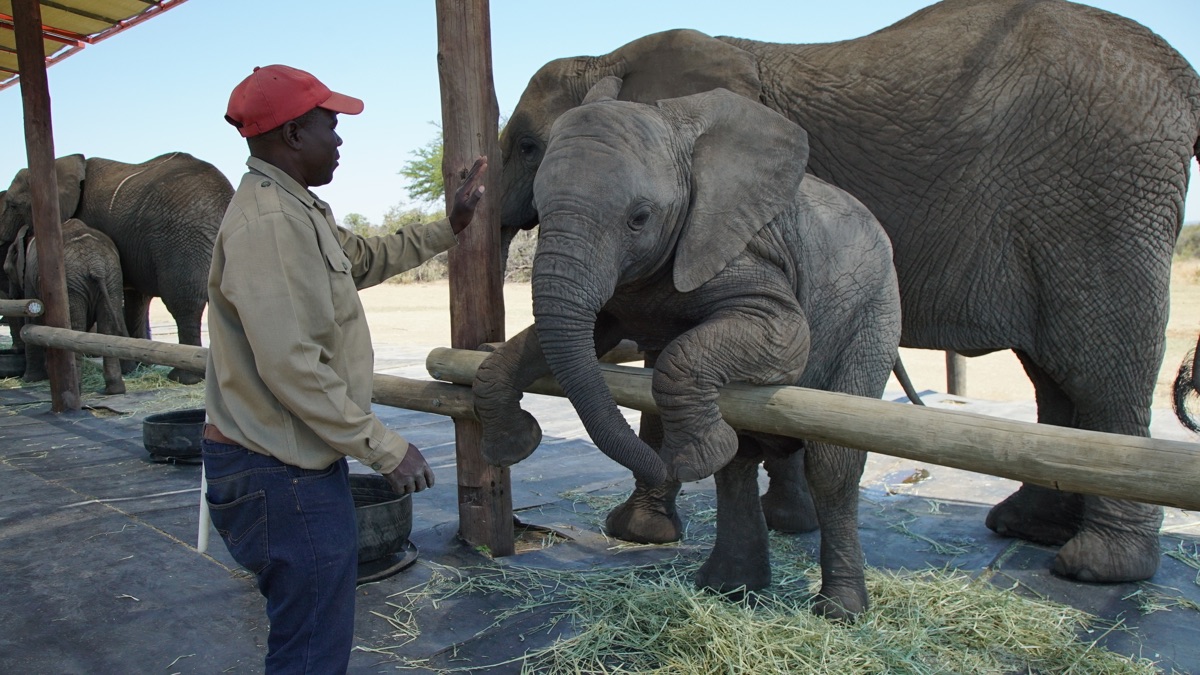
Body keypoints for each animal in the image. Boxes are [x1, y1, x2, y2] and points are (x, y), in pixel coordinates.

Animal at [3, 219, 128, 395]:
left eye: (6, 272)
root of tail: (96, 265)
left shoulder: (29, 278)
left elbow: (32, 322)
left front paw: (31, 379)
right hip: (113, 278)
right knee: (107, 327)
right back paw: (115, 391)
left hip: (73, 284)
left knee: (75, 328)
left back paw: (76, 389)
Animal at [474, 80, 902, 619]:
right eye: (540, 209)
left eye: (639, 219)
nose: (663, 464)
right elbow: (569, 338)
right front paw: (513, 443)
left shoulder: (742, 247)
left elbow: (786, 340)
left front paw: (689, 459)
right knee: (740, 460)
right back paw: (728, 587)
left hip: (874, 309)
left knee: (832, 461)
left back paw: (838, 609)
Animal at [493, 0, 1200, 584]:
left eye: (526, 145)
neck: (613, 56)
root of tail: (1181, 76)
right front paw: (775, 515)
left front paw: (644, 529)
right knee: (1054, 374)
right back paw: (1027, 528)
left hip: (1103, 195)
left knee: (1102, 366)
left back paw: (1098, 566)